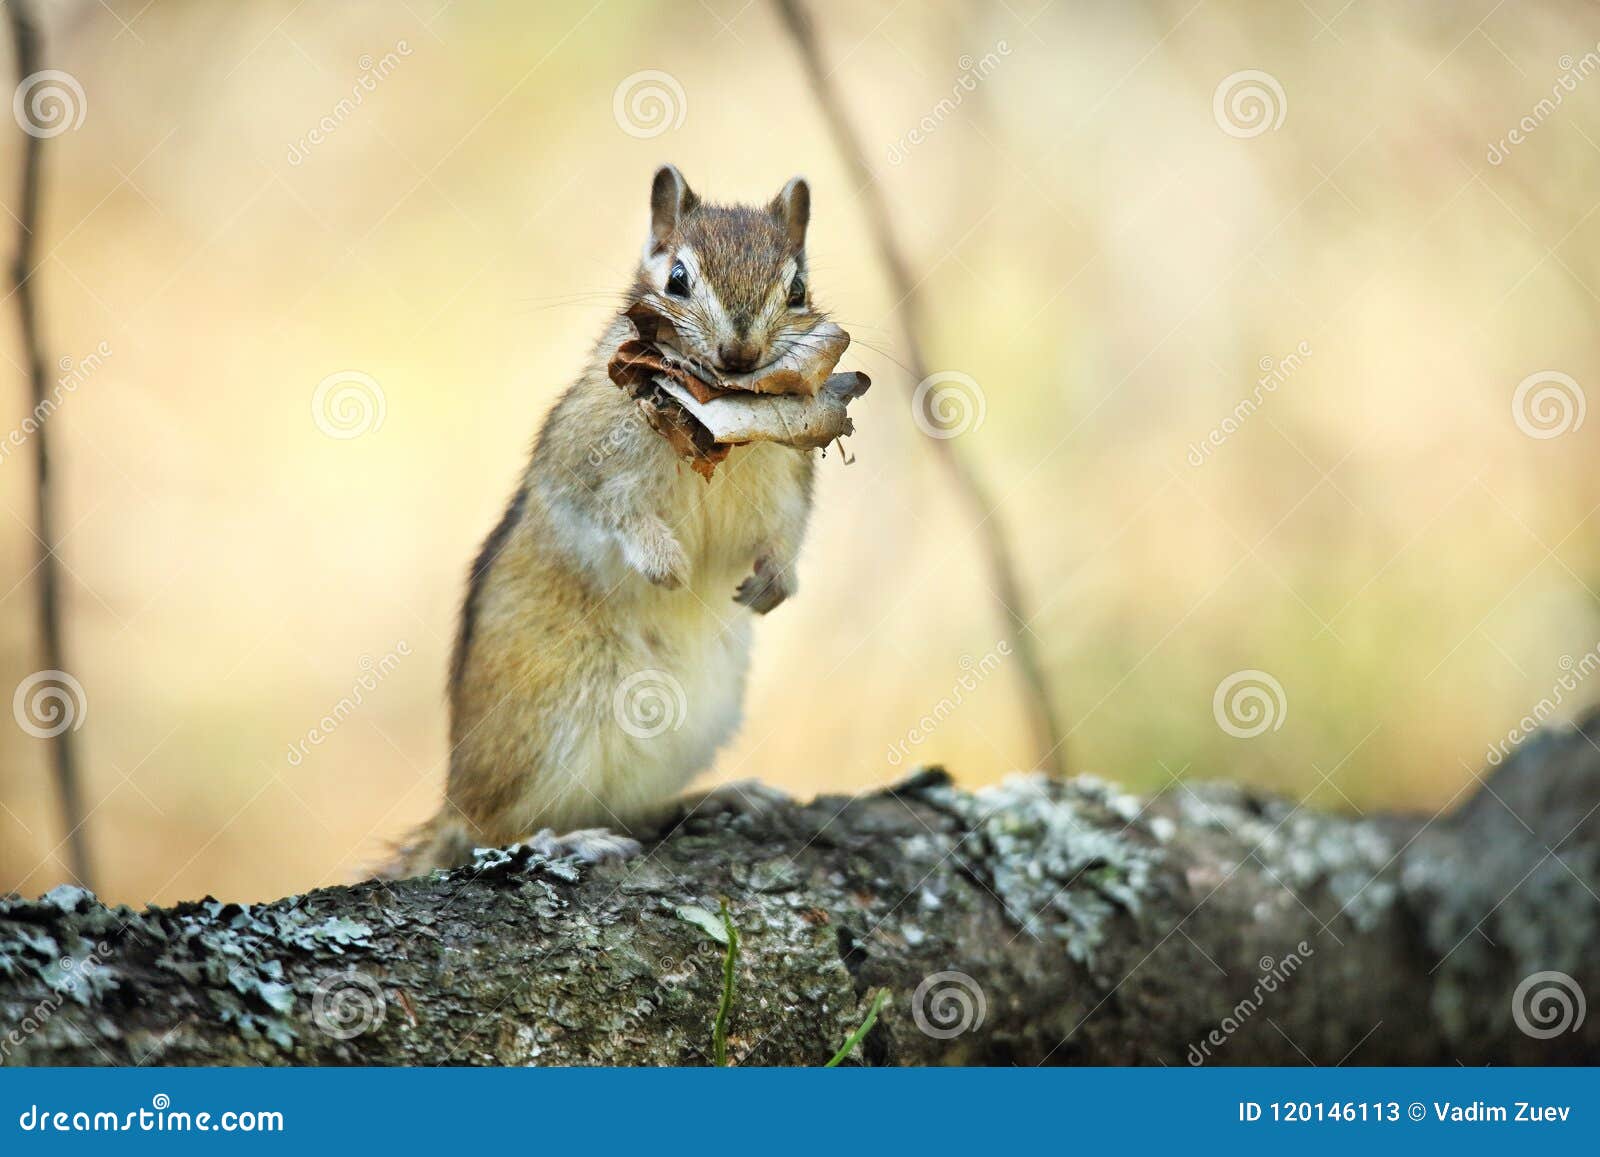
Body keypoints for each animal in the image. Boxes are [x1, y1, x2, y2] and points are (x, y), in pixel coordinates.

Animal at [385, 165, 824, 877]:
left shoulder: (792, 484)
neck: (714, 420)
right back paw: (564, 840)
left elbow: (788, 534)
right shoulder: (580, 457)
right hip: (549, 721)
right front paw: (664, 562)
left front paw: (775, 582)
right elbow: (608, 509)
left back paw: (715, 797)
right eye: (677, 278)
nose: (739, 353)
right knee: (491, 830)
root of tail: (453, 800)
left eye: (798, 290)